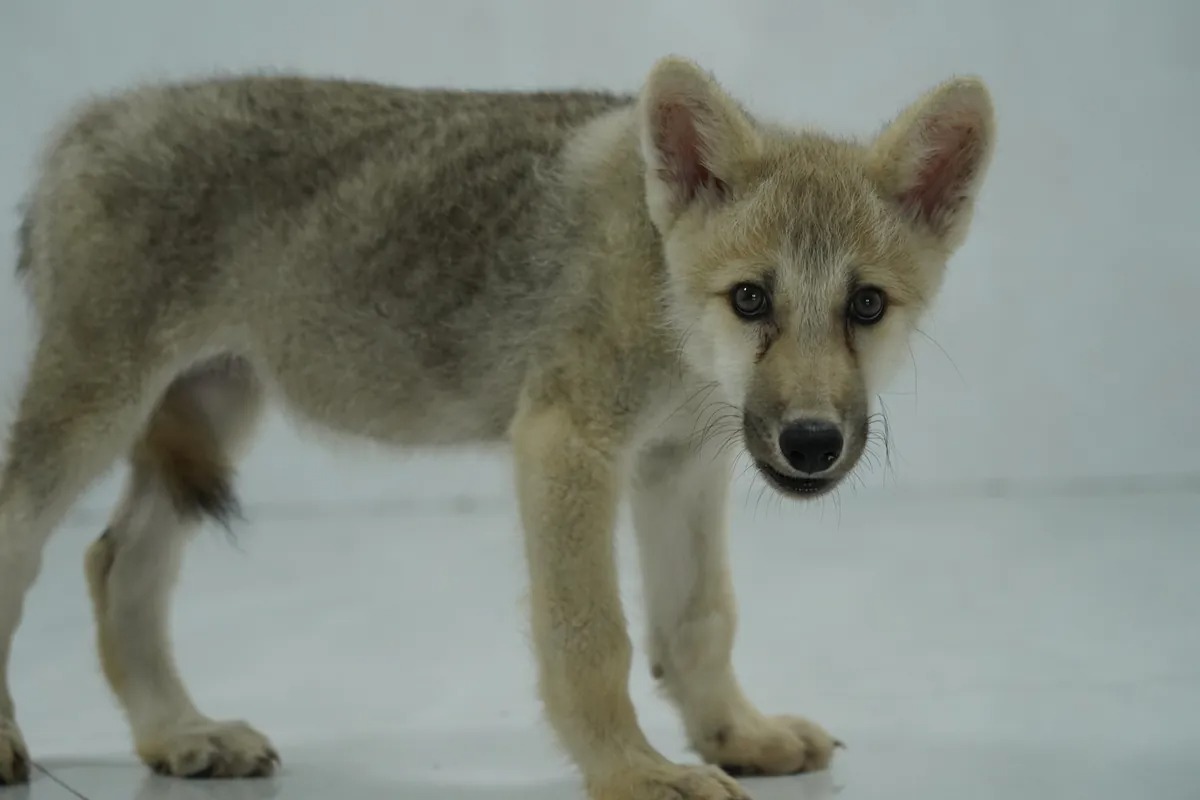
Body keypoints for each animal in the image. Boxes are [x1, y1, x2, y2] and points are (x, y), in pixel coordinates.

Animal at [0, 56, 994, 798]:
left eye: (866, 306)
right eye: (751, 299)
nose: (813, 444)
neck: (663, 291)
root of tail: (88, 121)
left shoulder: (680, 466)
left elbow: (699, 620)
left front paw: (732, 735)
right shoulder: (566, 444)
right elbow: (594, 638)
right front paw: (632, 773)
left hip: (214, 405)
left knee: (118, 564)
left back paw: (179, 733)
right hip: (97, 406)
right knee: (24, 539)